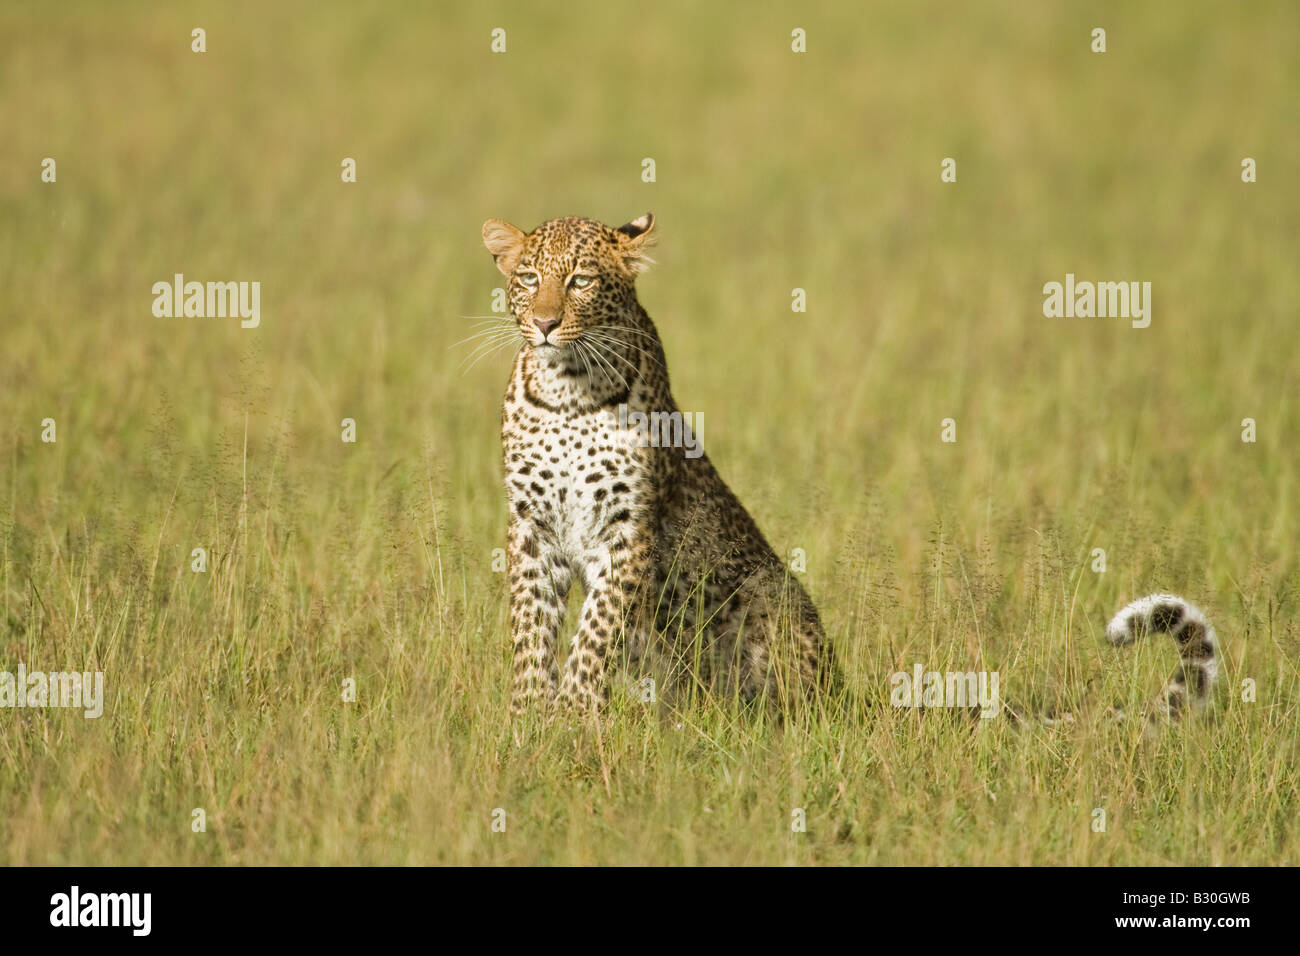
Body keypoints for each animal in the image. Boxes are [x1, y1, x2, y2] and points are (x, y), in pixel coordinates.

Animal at [481, 212, 830, 716]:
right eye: (529, 279)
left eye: (581, 281)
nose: (544, 323)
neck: (567, 390)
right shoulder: (531, 523)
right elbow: (532, 627)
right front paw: (528, 716)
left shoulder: (627, 527)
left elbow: (596, 632)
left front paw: (573, 715)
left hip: (775, 602)